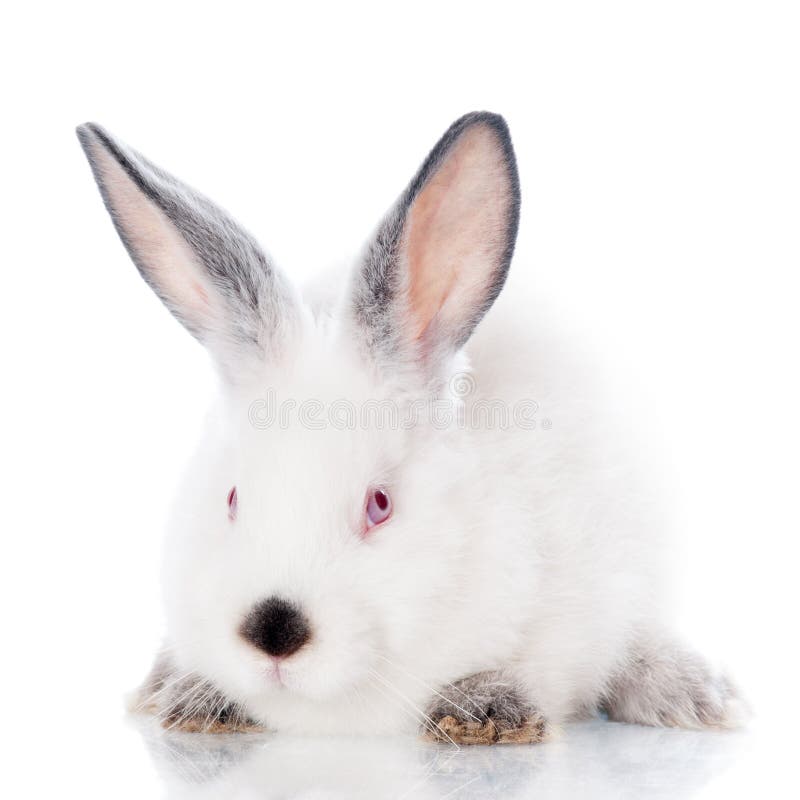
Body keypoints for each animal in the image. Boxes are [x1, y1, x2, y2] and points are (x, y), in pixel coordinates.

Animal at [76, 112, 746, 744]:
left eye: (380, 504)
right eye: (233, 498)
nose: (273, 631)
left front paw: (485, 711)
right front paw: (192, 700)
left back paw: (696, 695)